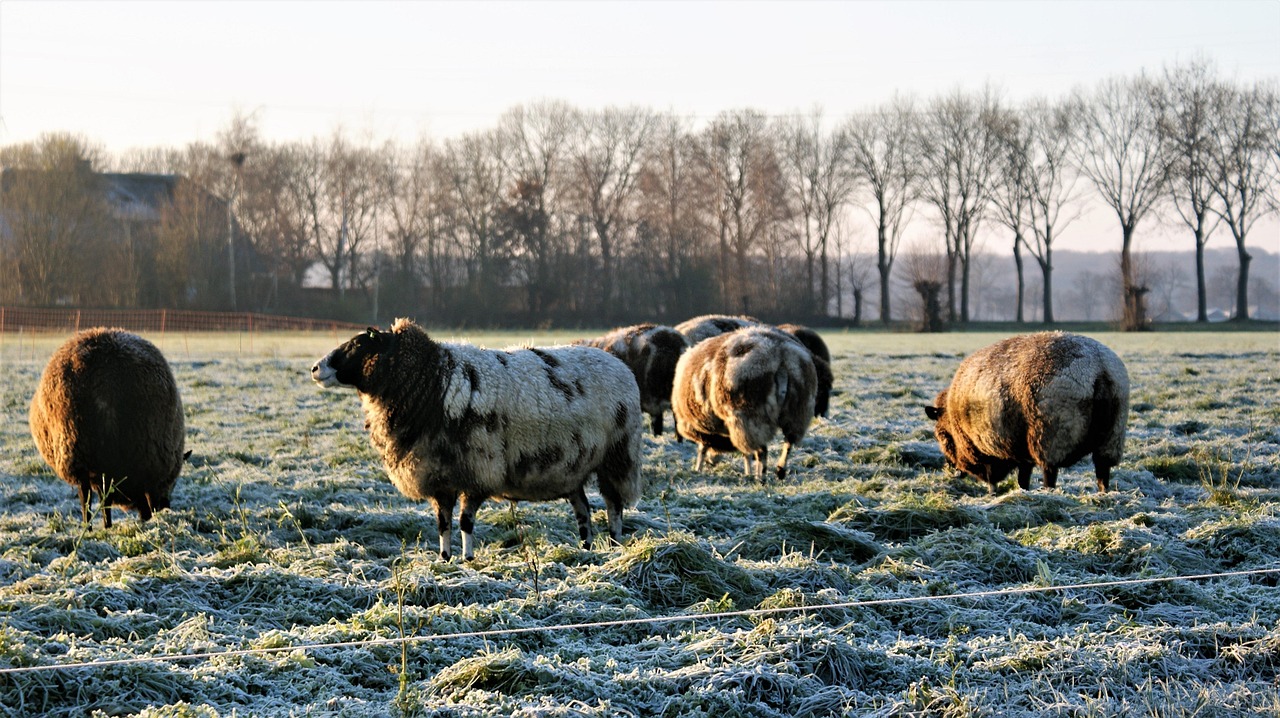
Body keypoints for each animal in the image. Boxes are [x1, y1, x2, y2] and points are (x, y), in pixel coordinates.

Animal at [29, 327, 187, 528]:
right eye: (173, 482)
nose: (167, 506)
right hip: (136, 459)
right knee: (110, 499)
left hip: (78, 452)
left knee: (87, 498)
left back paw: (89, 528)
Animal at [311, 318, 645, 561]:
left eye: (357, 344)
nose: (316, 368)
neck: (433, 381)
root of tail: (618, 363)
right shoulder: (438, 475)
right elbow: (443, 523)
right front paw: (444, 559)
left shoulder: (477, 471)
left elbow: (465, 522)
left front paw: (468, 559)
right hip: (573, 466)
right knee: (583, 509)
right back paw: (585, 547)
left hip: (617, 456)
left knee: (614, 505)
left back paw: (615, 545)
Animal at [672, 325, 818, 482]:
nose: (711, 462)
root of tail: (779, 355)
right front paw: (747, 472)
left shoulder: (712, 431)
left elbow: (704, 448)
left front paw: (698, 468)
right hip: (798, 411)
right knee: (788, 443)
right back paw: (780, 470)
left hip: (752, 416)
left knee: (761, 450)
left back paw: (761, 478)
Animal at [924, 331, 1130, 493]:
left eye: (942, 435)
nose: (951, 470)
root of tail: (1098, 369)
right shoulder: (1021, 451)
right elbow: (1022, 478)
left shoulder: (989, 451)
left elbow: (995, 480)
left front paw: (994, 495)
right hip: (1112, 437)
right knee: (1102, 472)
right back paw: (1103, 495)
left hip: (1052, 437)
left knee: (1050, 473)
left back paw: (1048, 494)